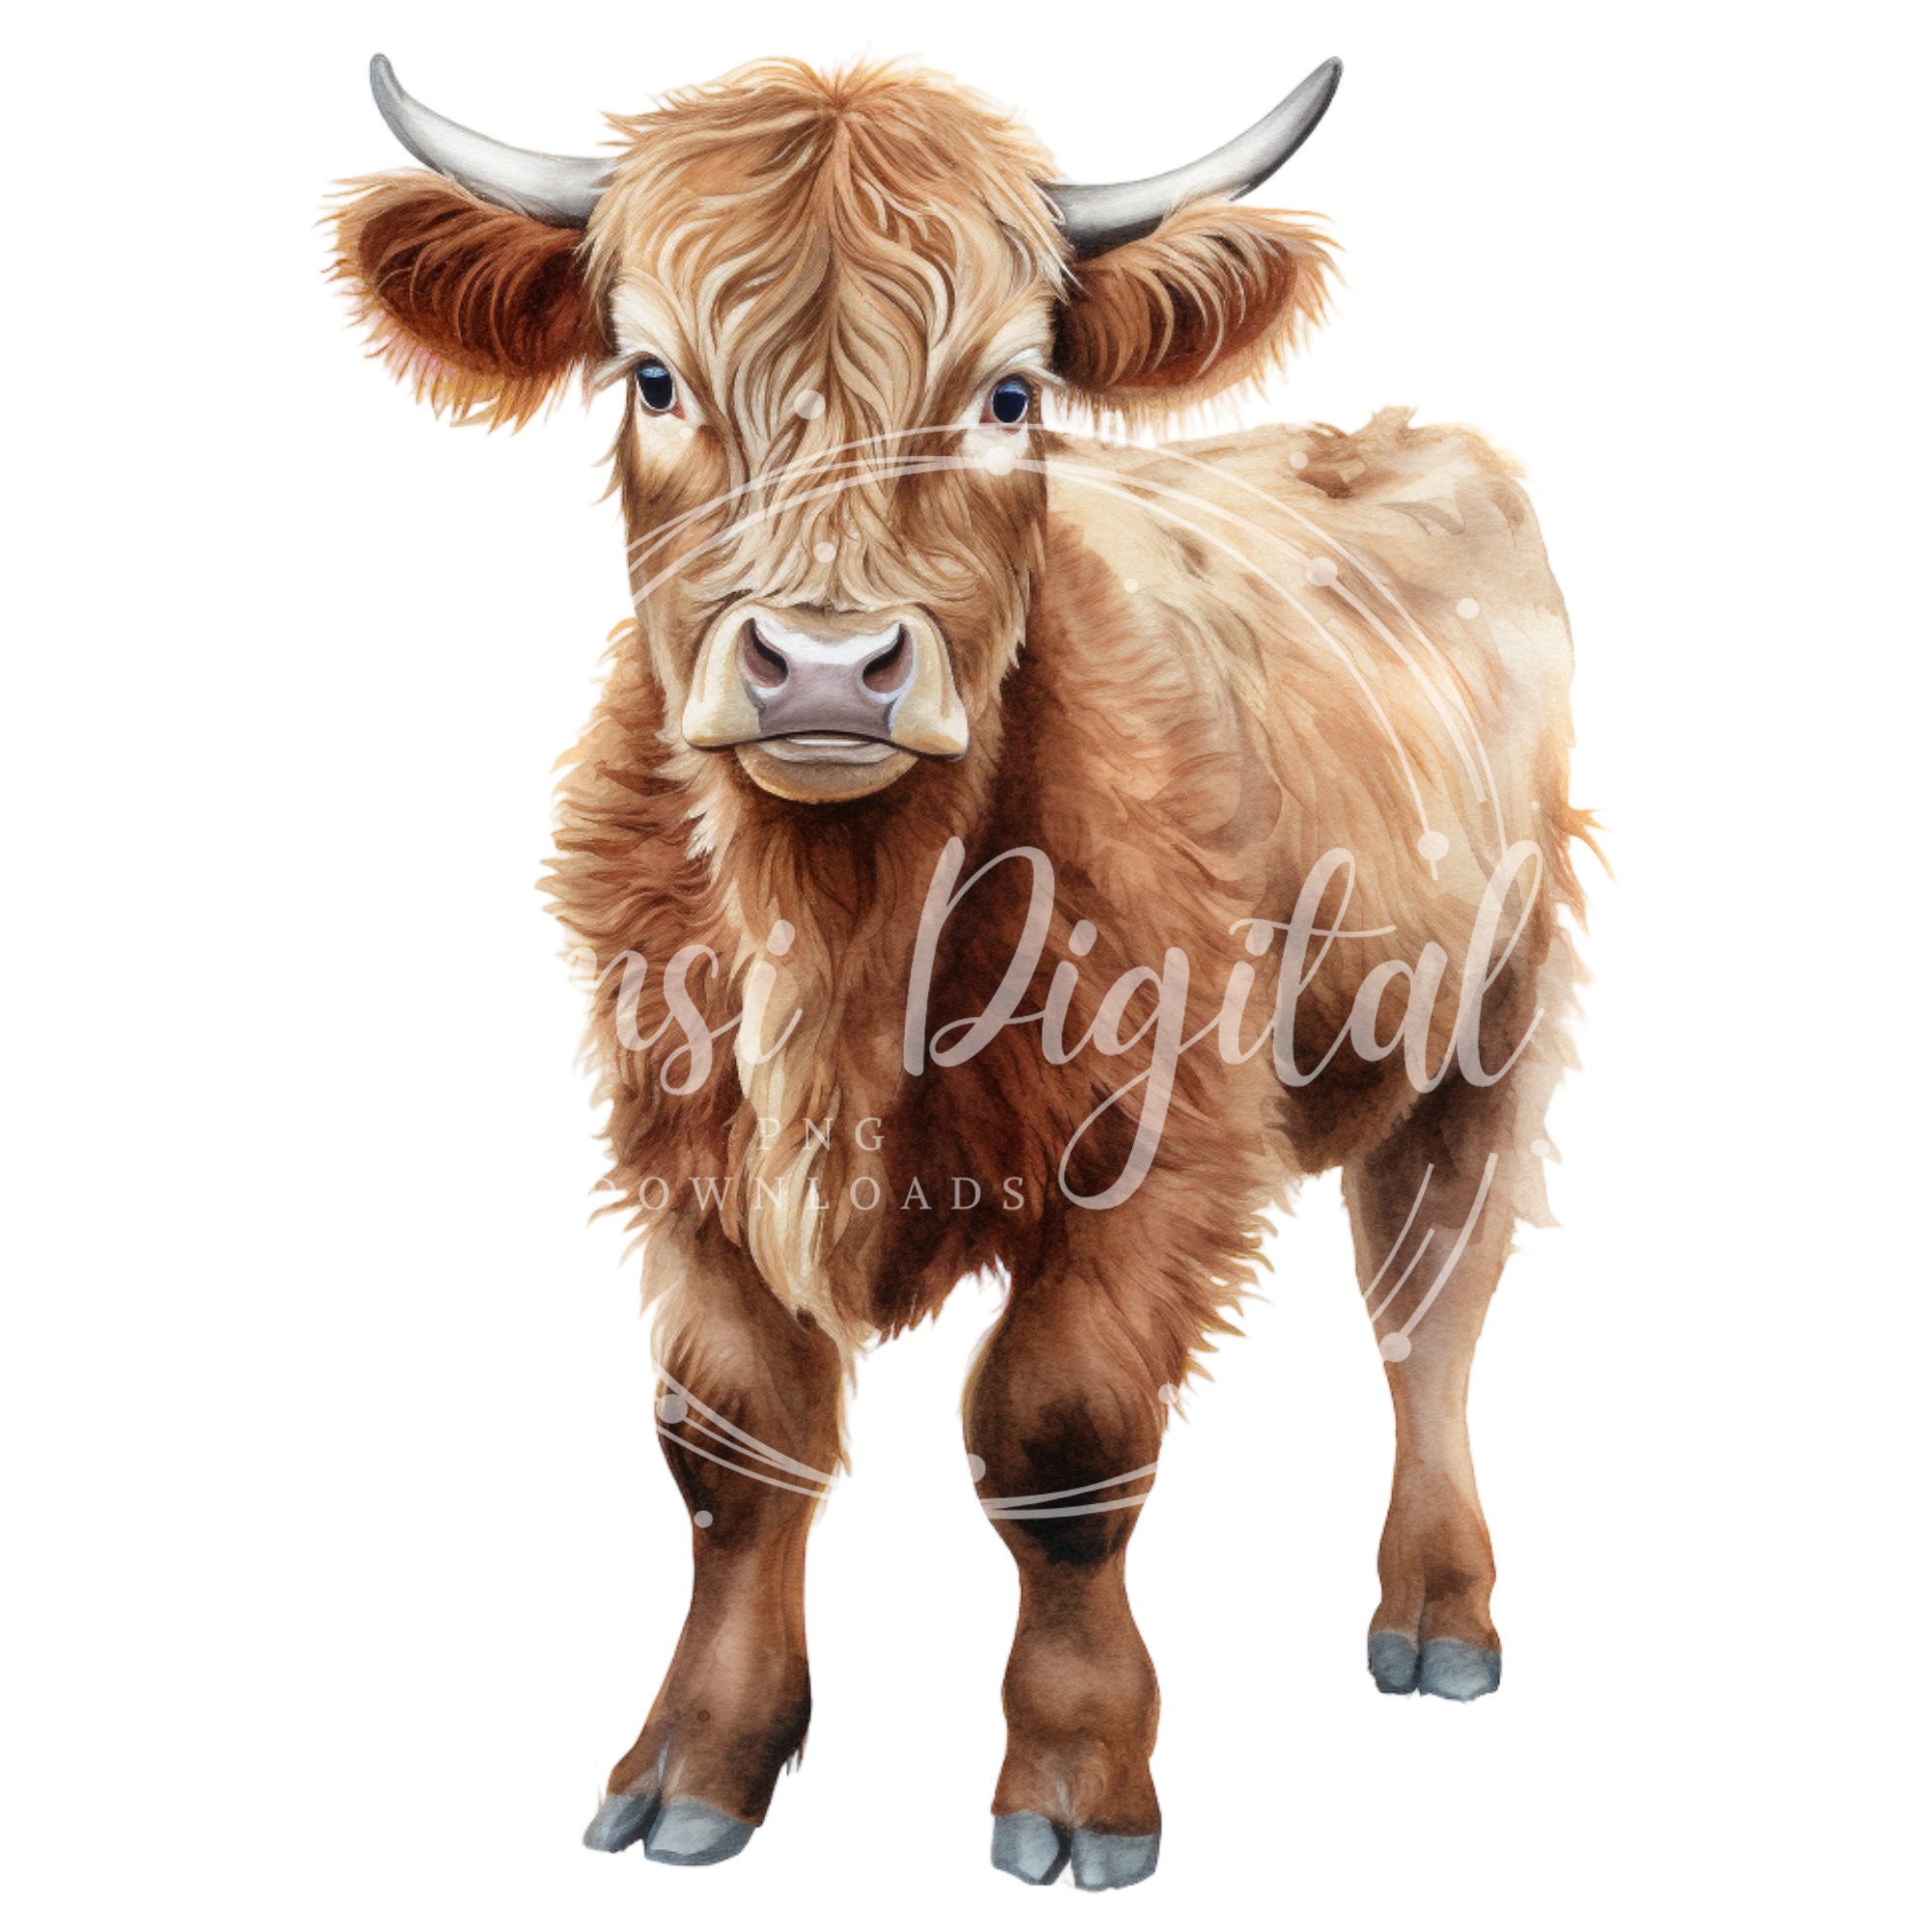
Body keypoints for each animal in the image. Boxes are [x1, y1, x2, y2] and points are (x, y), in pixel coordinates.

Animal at [332, 52, 1590, 1890]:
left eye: (1007, 394)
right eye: (652, 376)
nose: (824, 668)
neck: (846, 934)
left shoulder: (1158, 1155)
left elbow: (1059, 1442)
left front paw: (1075, 1785)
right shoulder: (681, 1152)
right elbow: (727, 1447)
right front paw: (695, 1765)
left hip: (1490, 1024)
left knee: (1431, 1307)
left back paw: (1437, 1617)